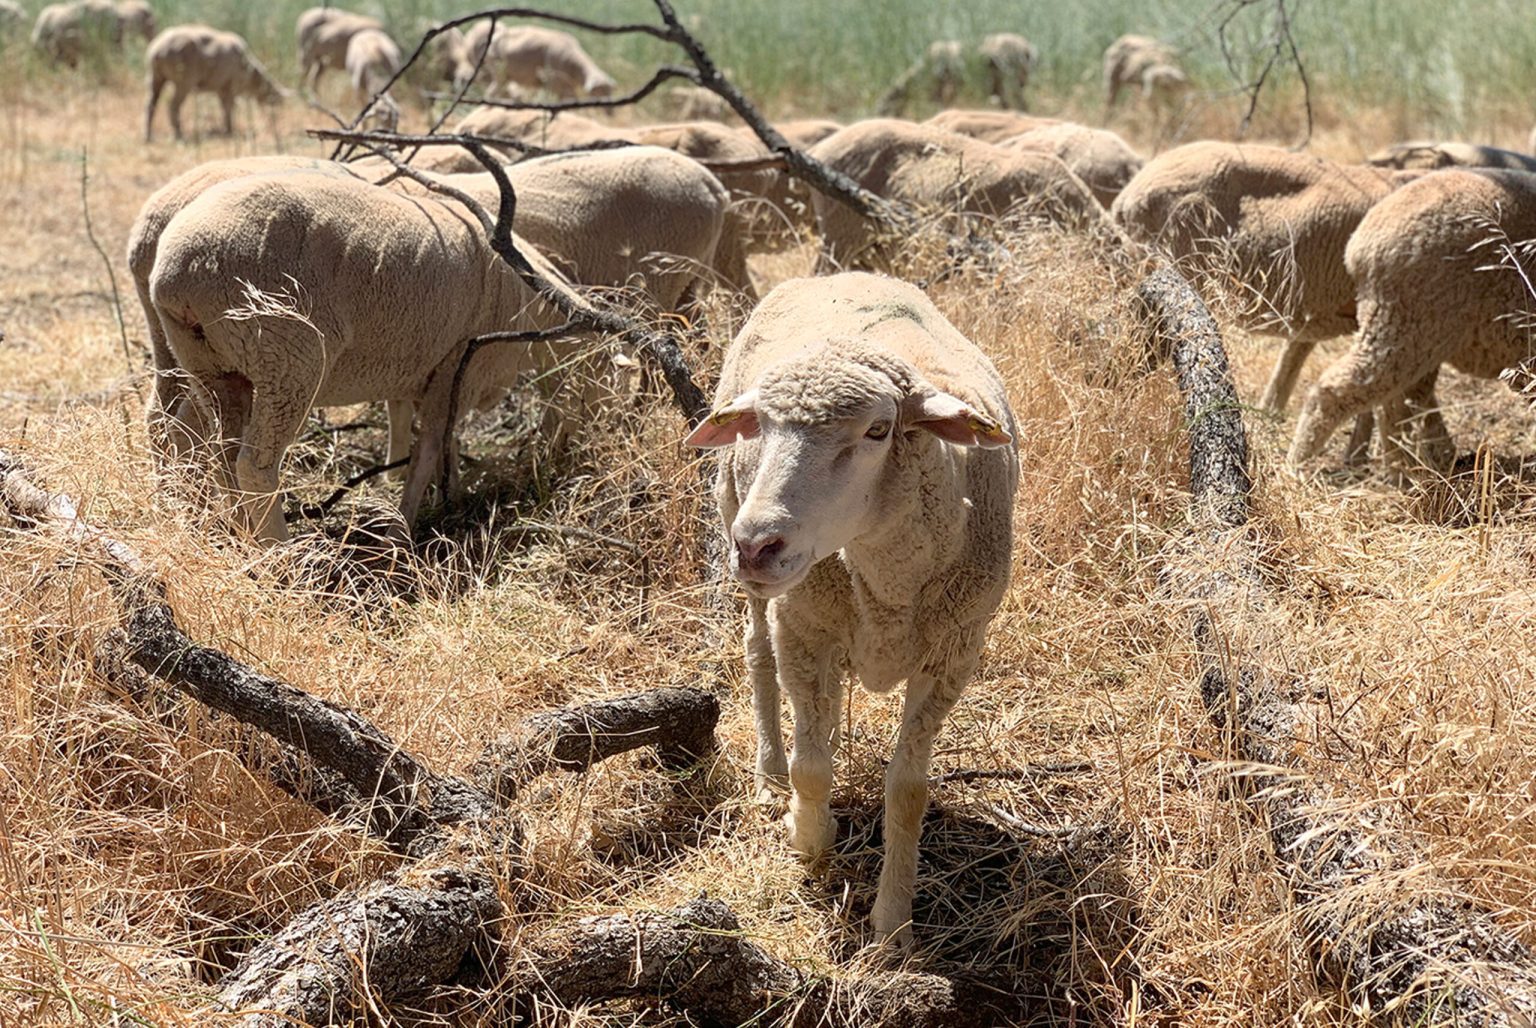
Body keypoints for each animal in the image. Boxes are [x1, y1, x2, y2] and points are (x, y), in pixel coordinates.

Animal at [144, 25, 284, 142]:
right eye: (273, 98)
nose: (274, 117)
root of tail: (156, 50)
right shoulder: (230, 86)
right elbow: (228, 108)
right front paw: (229, 131)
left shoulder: (221, 88)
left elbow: (224, 108)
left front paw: (226, 129)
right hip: (184, 80)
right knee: (173, 105)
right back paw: (179, 135)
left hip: (156, 76)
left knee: (151, 105)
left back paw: (148, 136)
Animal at [457, 22, 616, 100]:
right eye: (600, 91)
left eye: (610, 92)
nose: (609, 111)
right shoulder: (555, 82)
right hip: (499, 72)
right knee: (492, 91)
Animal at [687, 271, 1018, 946]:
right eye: (760, 426)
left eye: (878, 430)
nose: (754, 544)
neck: (884, 575)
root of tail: (839, 274)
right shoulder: (803, 627)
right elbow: (811, 770)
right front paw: (809, 842)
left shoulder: (954, 654)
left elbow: (908, 791)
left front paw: (893, 925)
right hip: (758, 564)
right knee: (760, 659)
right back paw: (771, 776)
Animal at [1289, 169, 1536, 471]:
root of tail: (1358, 245)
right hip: (1407, 322)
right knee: (1340, 389)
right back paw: (1297, 465)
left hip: (1415, 329)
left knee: (1402, 401)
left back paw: (1420, 467)